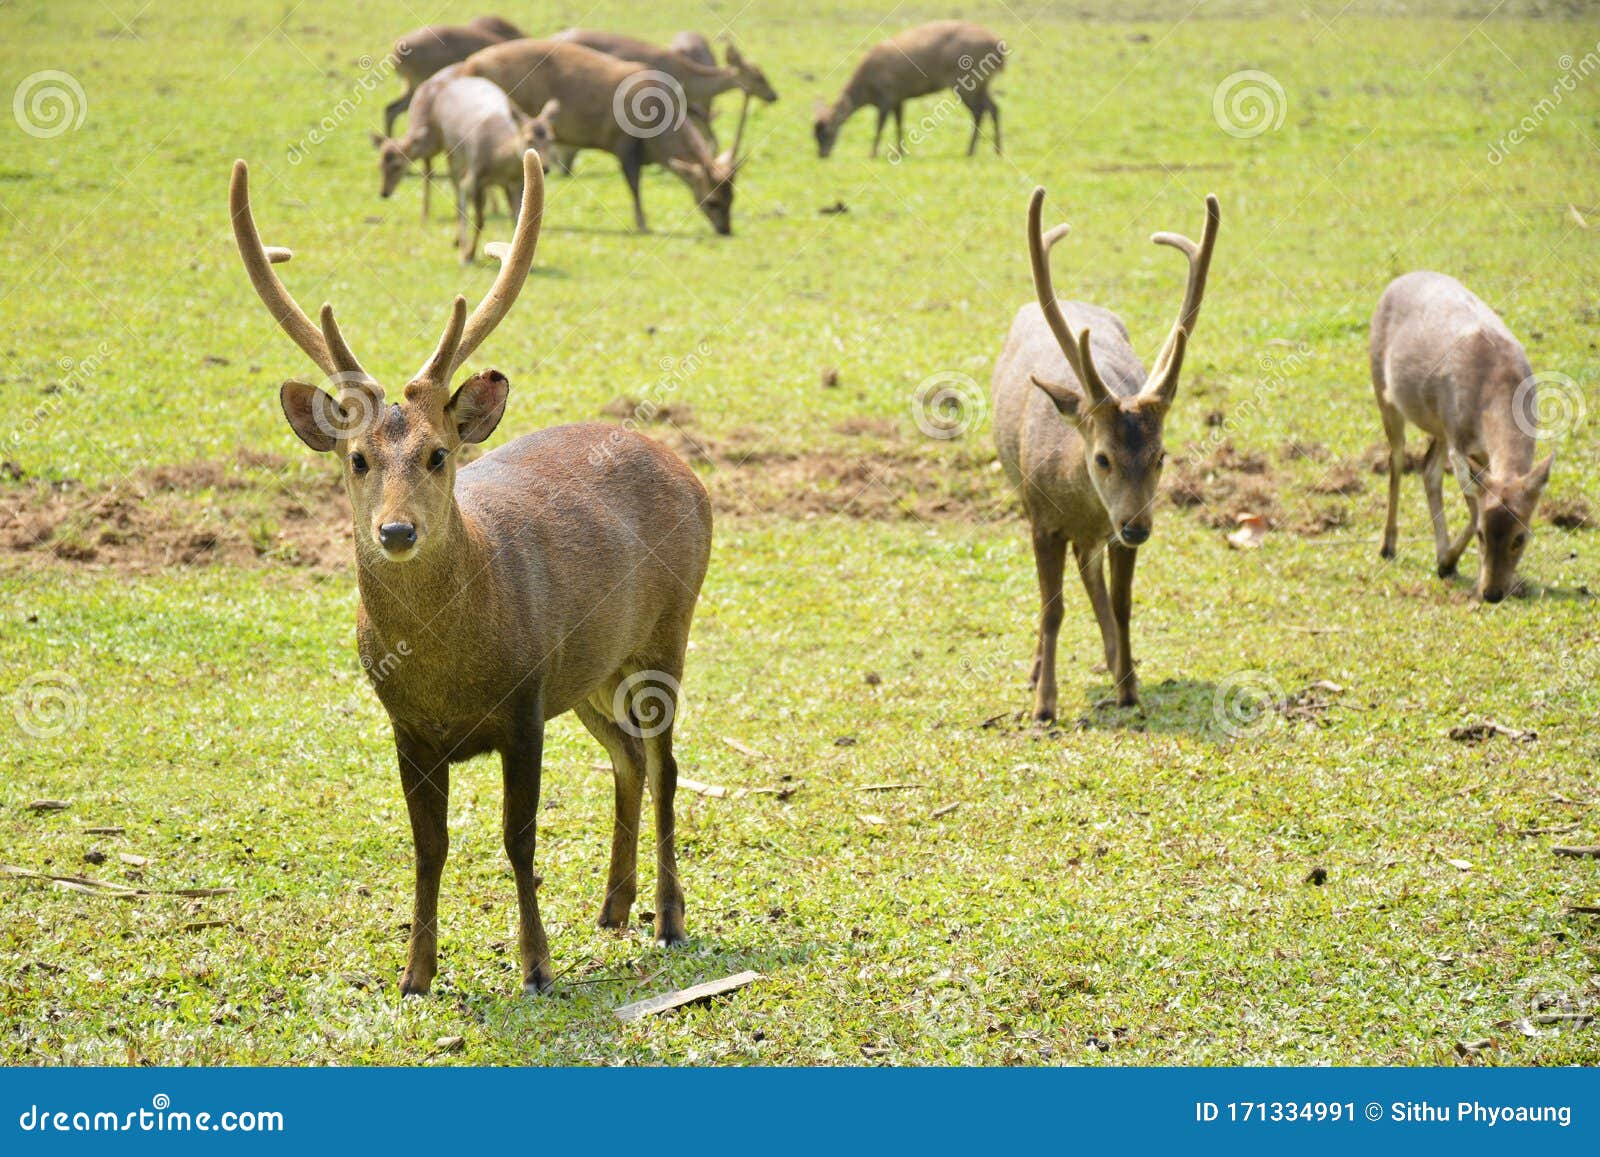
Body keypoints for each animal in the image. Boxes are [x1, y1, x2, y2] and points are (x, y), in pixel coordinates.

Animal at [228, 150, 713, 996]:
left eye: (437, 453)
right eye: (357, 459)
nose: (395, 529)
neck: (448, 671)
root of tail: (689, 471)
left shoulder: (523, 703)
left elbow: (519, 837)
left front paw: (537, 964)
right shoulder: (408, 725)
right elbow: (430, 846)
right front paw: (415, 972)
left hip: (665, 633)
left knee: (665, 763)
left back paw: (669, 916)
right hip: (589, 671)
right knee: (626, 754)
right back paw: (613, 907)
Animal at [462, 38, 750, 235]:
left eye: (732, 198)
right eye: (712, 202)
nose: (726, 230)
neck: (656, 140)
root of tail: (470, 64)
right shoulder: (624, 142)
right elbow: (634, 184)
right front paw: (642, 224)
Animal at [814, 21, 1004, 159]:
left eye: (828, 132)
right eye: (813, 134)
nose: (822, 155)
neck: (867, 90)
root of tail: (999, 47)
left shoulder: (887, 95)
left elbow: (880, 126)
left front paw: (872, 154)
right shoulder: (899, 98)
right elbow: (899, 124)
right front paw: (900, 152)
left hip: (967, 80)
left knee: (979, 110)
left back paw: (970, 151)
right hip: (982, 83)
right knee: (994, 107)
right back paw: (997, 150)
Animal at [992, 188, 1220, 719]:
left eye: (1161, 457)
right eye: (1102, 458)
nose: (1137, 527)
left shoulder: (1111, 534)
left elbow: (1121, 604)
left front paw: (1129, 688)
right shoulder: (1042, 521)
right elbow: (1052, 609)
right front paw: (1044, 705)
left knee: (1090, 573)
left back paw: (1115, 661)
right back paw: (1039, 672)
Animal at [1371, 272, 1555, 602]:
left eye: (1520, 537)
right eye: (1482, 535)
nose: (1492, 593)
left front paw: (1446, 561)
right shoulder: (1460, 442)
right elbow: (1474, 508)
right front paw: (1446, 564)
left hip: (1440, 425)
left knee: (1428, 468)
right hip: (1383, 390)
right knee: (1397, 459)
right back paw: (1388, 546)